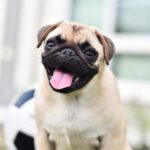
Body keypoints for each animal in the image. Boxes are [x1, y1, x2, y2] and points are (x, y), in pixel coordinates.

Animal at [34, 20, 131, 150]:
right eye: (51, 43)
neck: (71, 98)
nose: (68, 52)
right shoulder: (43, 135)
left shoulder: (111, 139)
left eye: (89, 53)